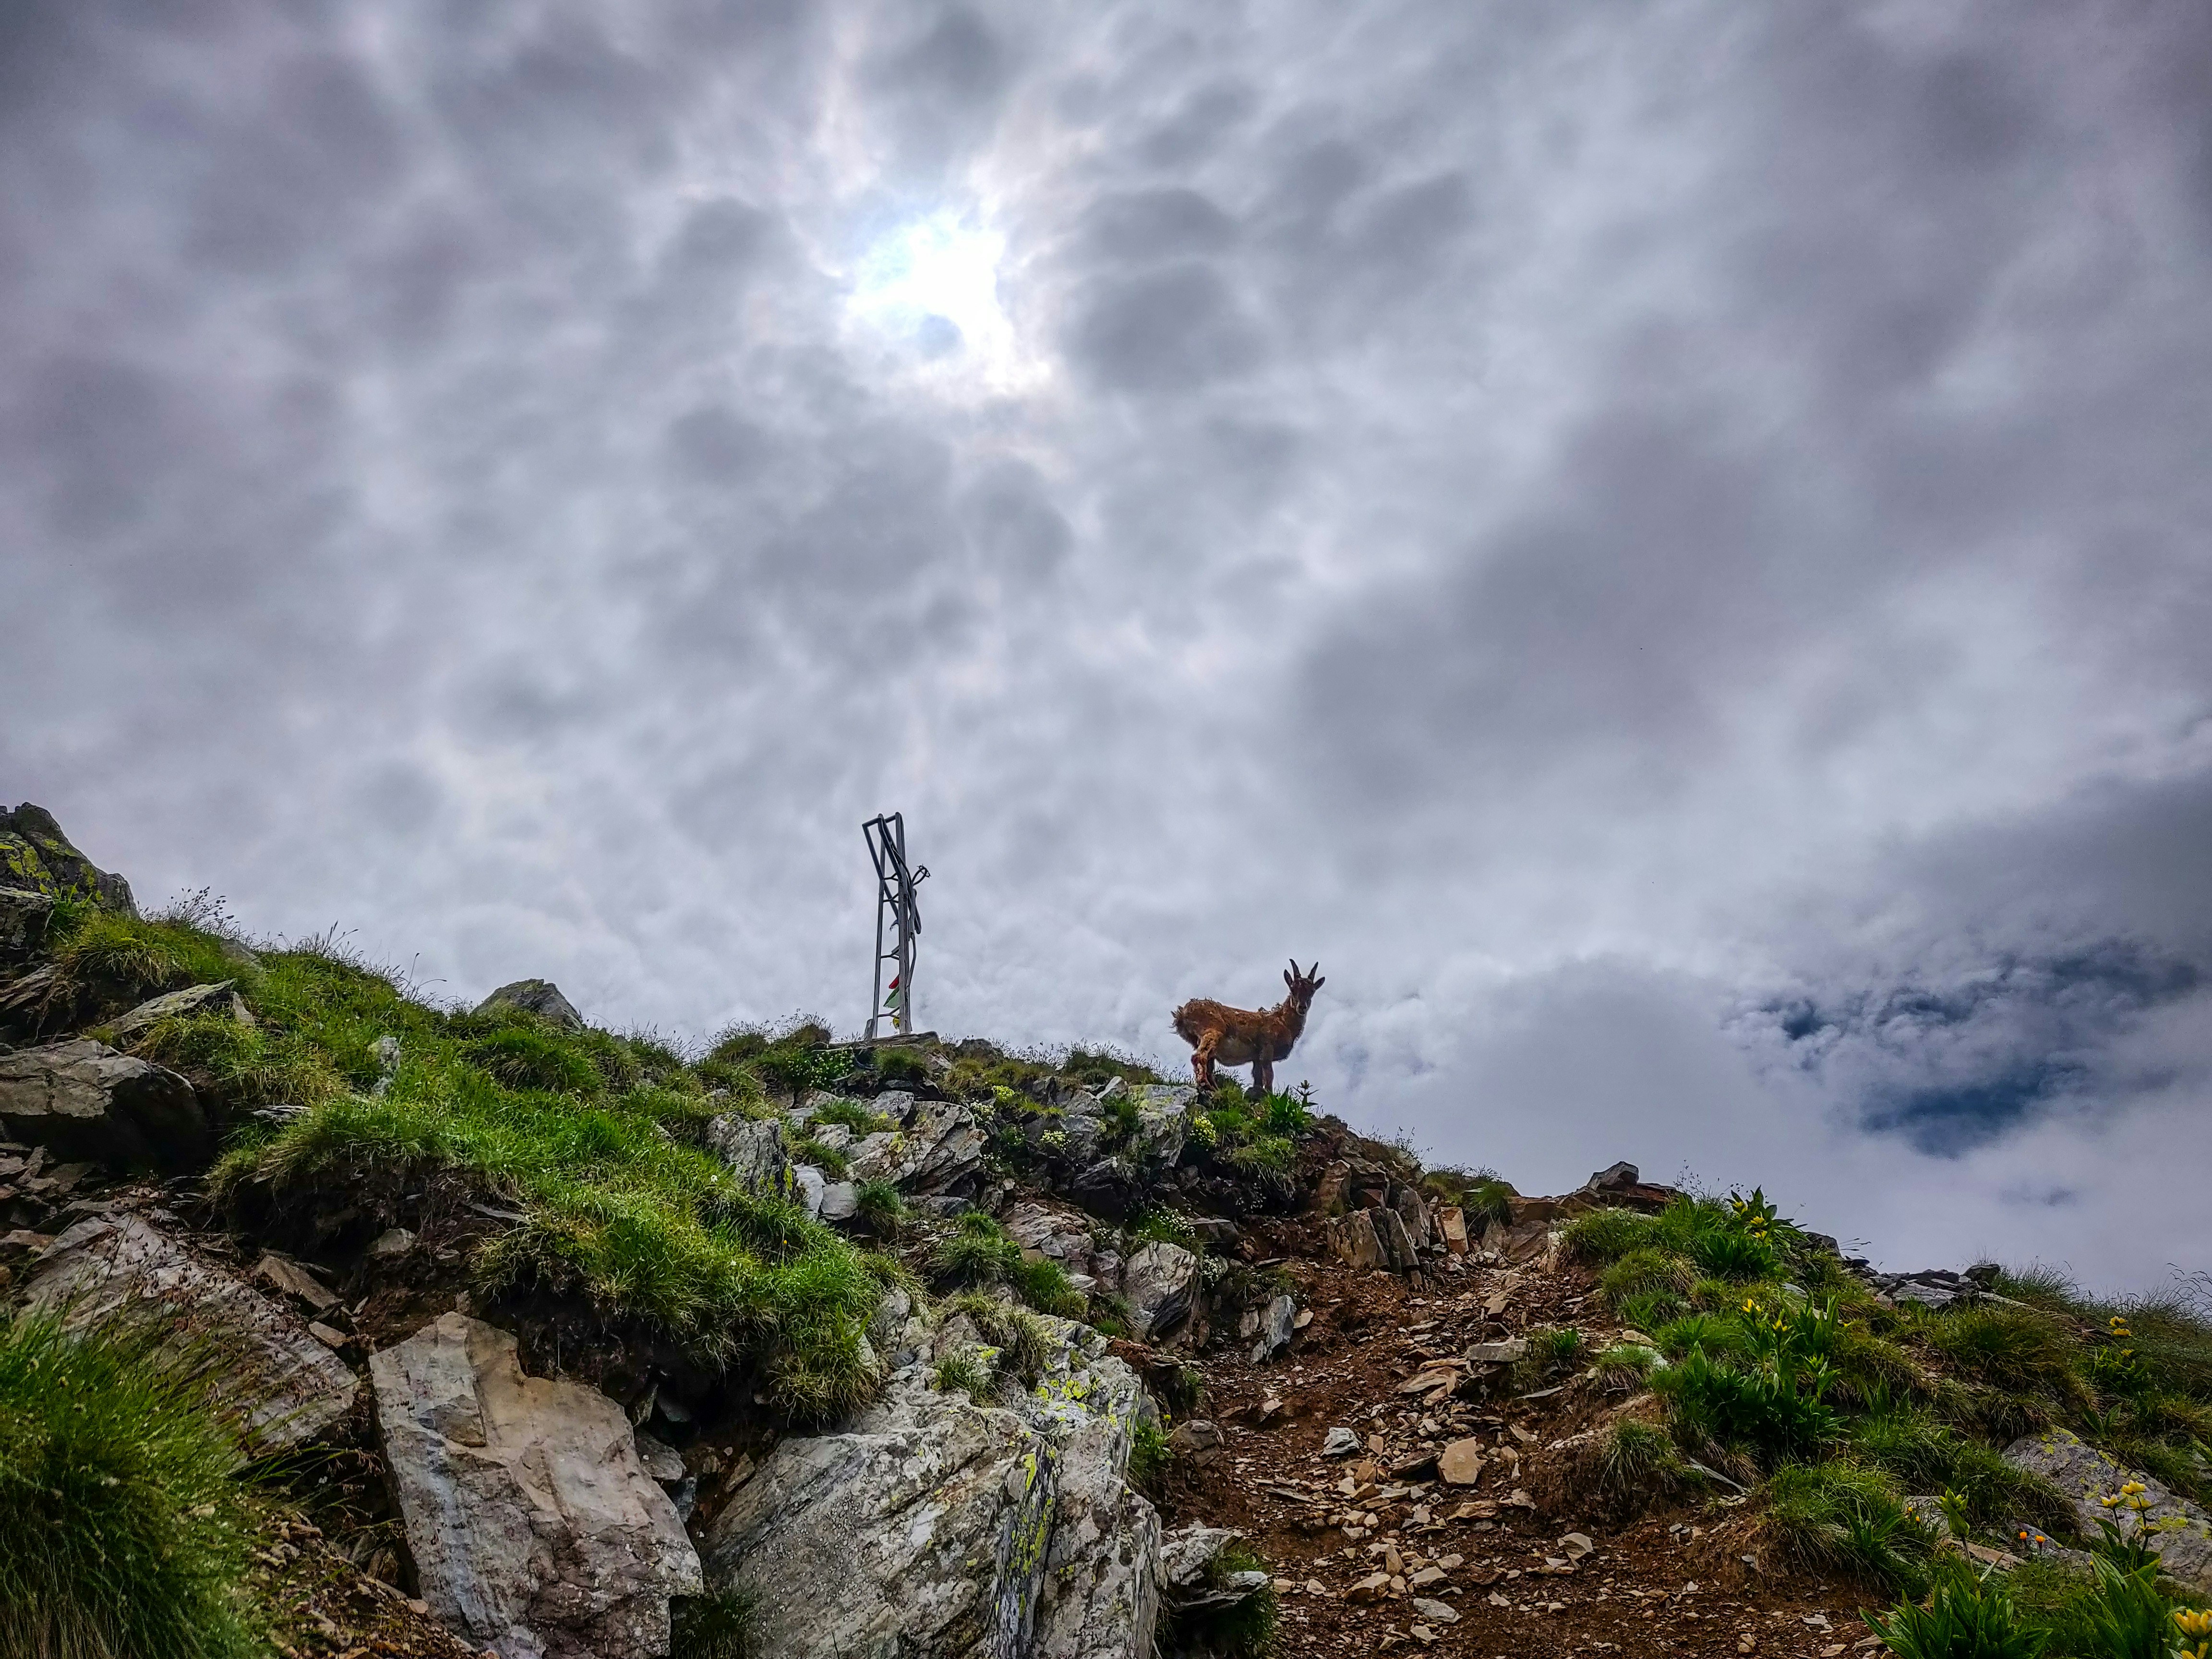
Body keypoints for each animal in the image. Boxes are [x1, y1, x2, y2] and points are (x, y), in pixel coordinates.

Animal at [1172, 960, 1326, 1097]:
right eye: (1293, 989)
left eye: (1312, 991)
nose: (1302, 1007)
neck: (1283, 1021)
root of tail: (1182, 1013)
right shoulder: (1267, 1048)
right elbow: (1269, 1076)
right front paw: (1270, 1098)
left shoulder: (1256, 1057)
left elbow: (1258, 1078)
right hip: (1213, 1031)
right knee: (1199, 1057)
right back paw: (1206, 1086)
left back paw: (1216, 1089)